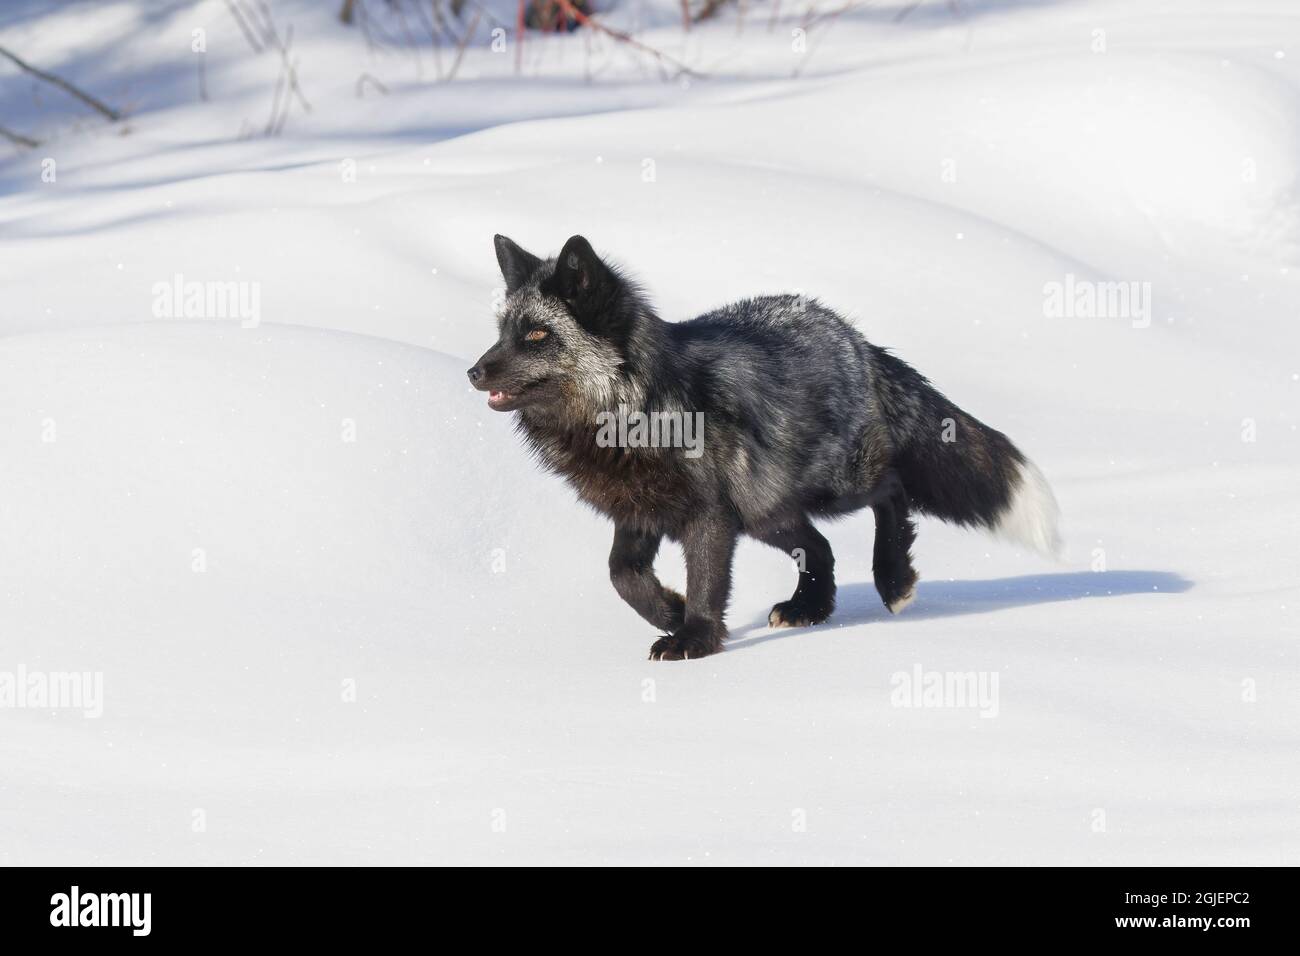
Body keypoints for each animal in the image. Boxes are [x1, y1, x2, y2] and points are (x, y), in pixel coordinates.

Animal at [468, 234, 1062, 660]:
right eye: (501, 331)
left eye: (538, 335)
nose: (473, 371)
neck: (634, 413)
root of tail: (852, 335)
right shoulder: (638, 513)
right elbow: (622, 577)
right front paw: (671, 612)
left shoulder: (709, 517)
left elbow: (707, 582)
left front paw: (695, 638)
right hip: (763, 510)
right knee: (820, 547)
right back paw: (809, 607)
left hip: (826, 489)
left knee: (891, 492)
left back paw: (892, 581)